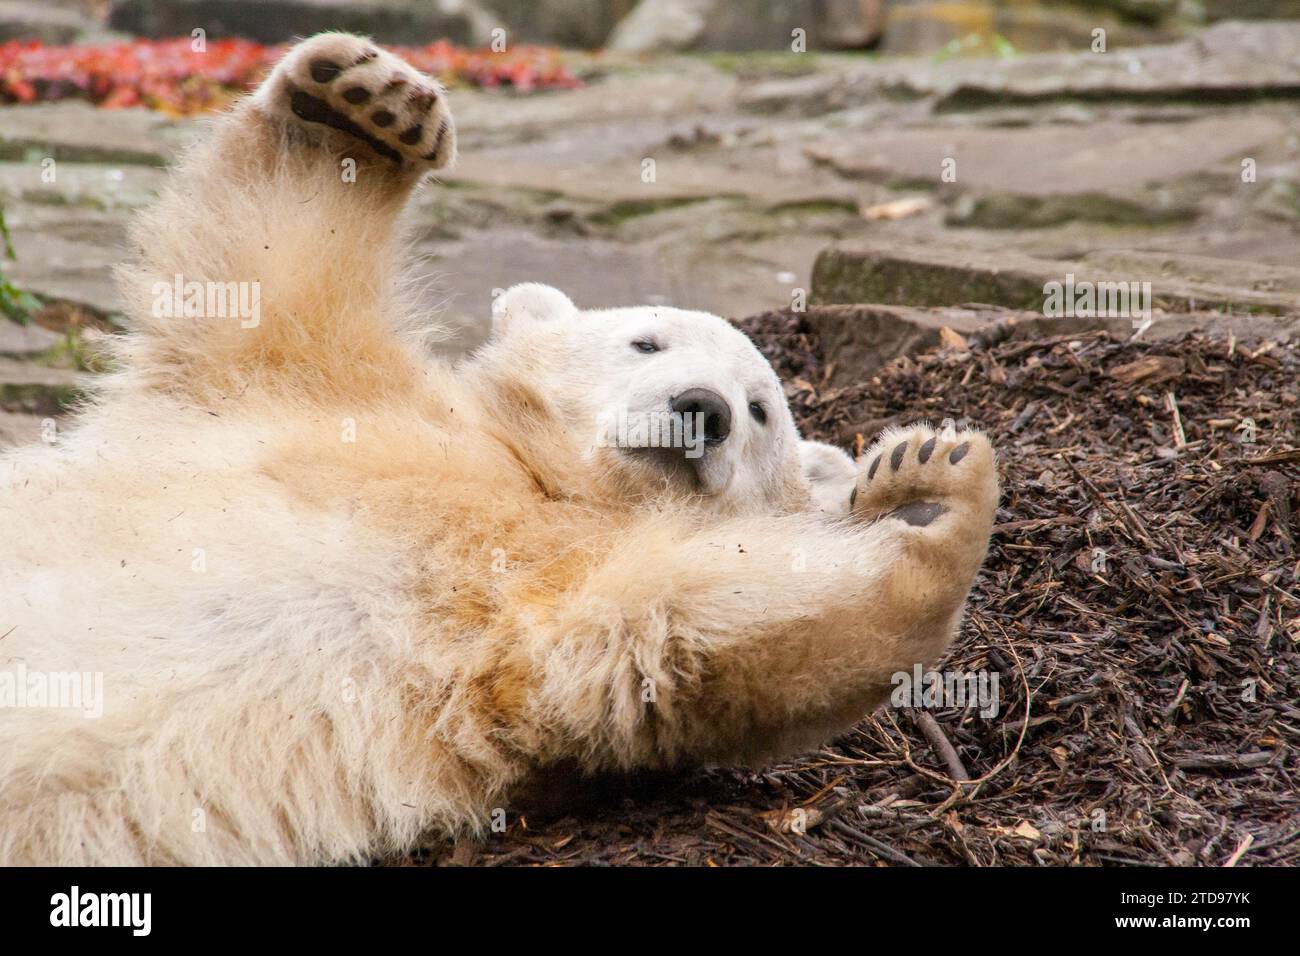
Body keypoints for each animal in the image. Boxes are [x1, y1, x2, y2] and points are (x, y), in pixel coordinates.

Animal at [0, 33, 999, 865]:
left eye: (759, 409)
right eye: (646, 341)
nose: (701, 409)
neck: (540, 480)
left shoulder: (528, 621)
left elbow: (689, 632)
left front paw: (926, 491)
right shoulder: (306, 396)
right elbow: (265, 282)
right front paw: (366, 105)